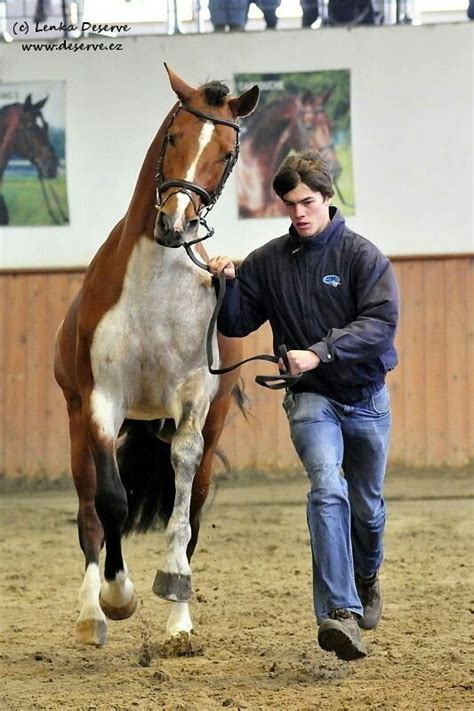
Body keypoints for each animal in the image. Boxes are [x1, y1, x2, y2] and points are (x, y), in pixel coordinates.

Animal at [54, 64, 259, 648]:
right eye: (174, 137)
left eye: (226, 154)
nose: (174, 223)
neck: (155, 288)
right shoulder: (102, 401)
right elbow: (111, 501)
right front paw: (117, 597)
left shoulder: (193, 400)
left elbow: (182, 509)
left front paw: (174, 592)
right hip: (76, 422)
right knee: (89, 510)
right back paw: (90, 616)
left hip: (207, 427)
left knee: (192, 509)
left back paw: (178, 625)